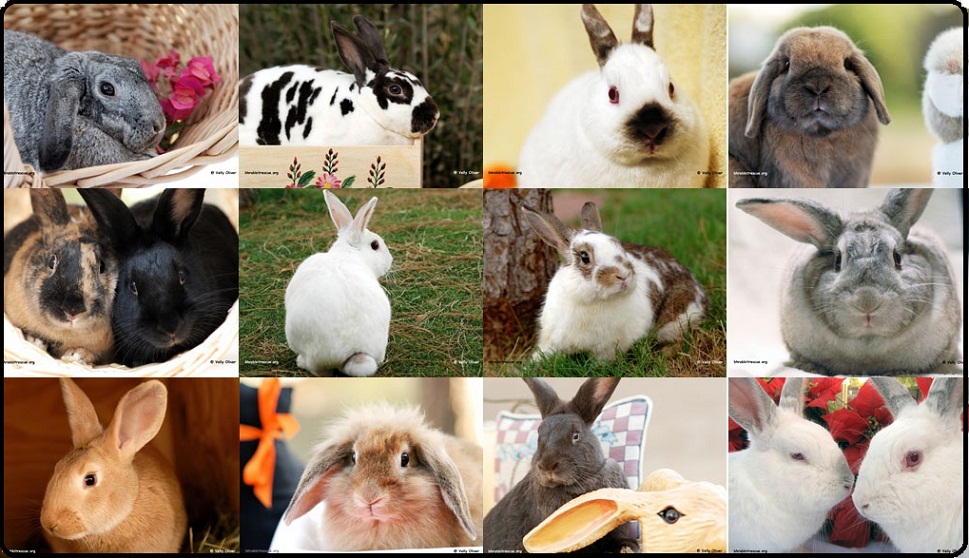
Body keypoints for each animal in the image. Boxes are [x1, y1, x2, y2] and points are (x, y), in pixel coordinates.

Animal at [522, 200, 706, 361]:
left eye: (620, 247)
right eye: (584, 257)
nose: (623, 275)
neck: (591, 302)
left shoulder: (608, 348)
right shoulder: (552, 338)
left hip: (675, 321)